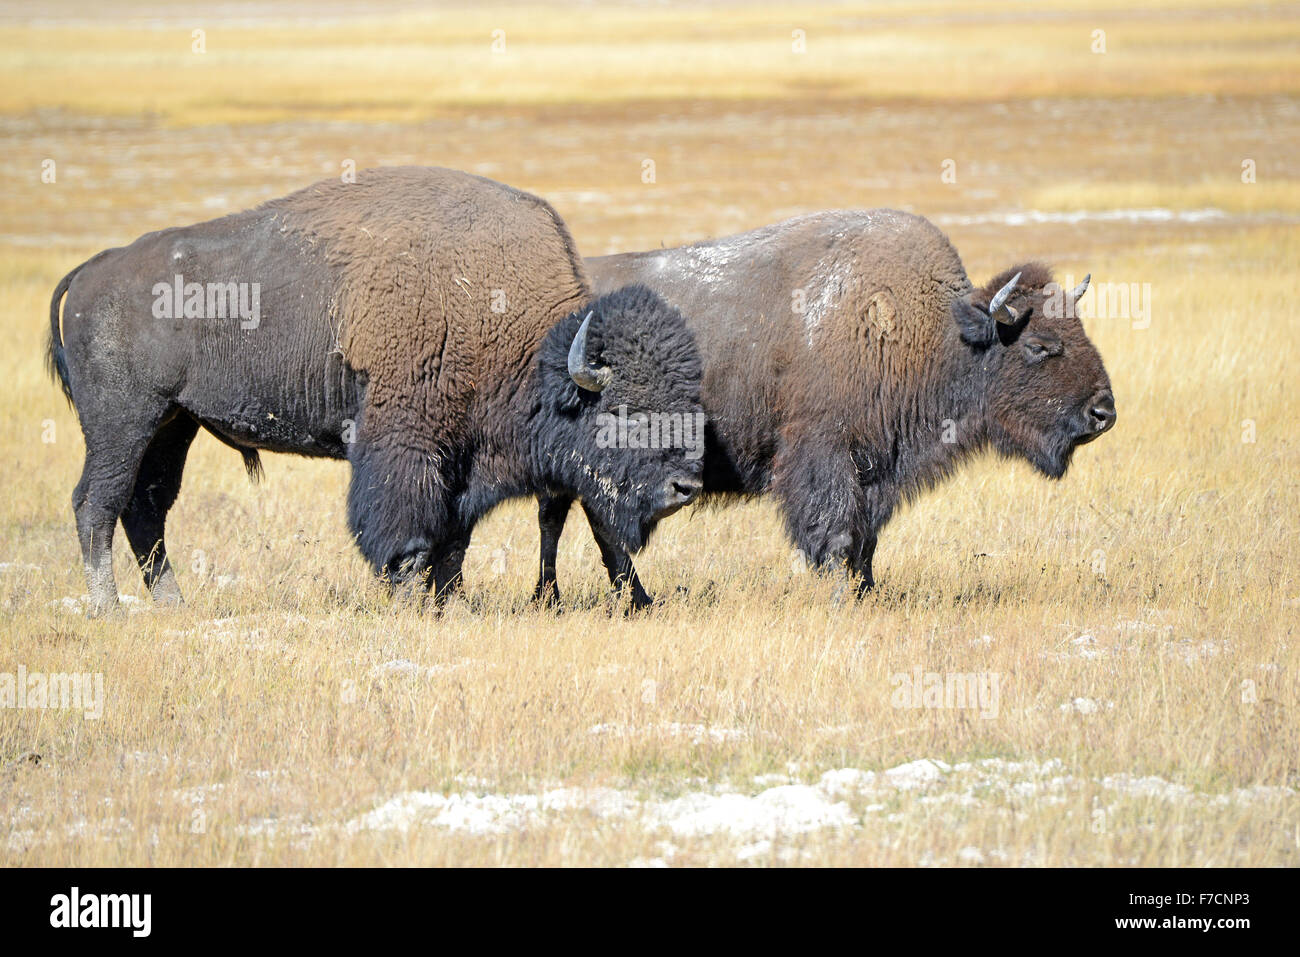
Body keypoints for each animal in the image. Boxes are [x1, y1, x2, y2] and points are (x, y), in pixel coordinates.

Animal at [48, 166, 704, 615]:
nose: (686, 486)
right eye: (626, 410)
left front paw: (449, 602)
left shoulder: (461, 460)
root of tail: (93, 269)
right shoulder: (406, 443)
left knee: (145, 508)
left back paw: (173, 605)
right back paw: (109, 609)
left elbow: (454, 539)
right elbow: (410, 531)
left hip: (173, 425)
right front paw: (413, 596)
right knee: (97, 503)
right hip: (123, 422)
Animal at [533, 209, 1115, 606]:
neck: (931, 332)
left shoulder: (876, 470)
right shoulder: (824, 456)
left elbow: (866, 539)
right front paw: (841, 596)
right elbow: (835, 532)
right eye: (1039, 345)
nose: (1103, 413)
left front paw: (868, 591)